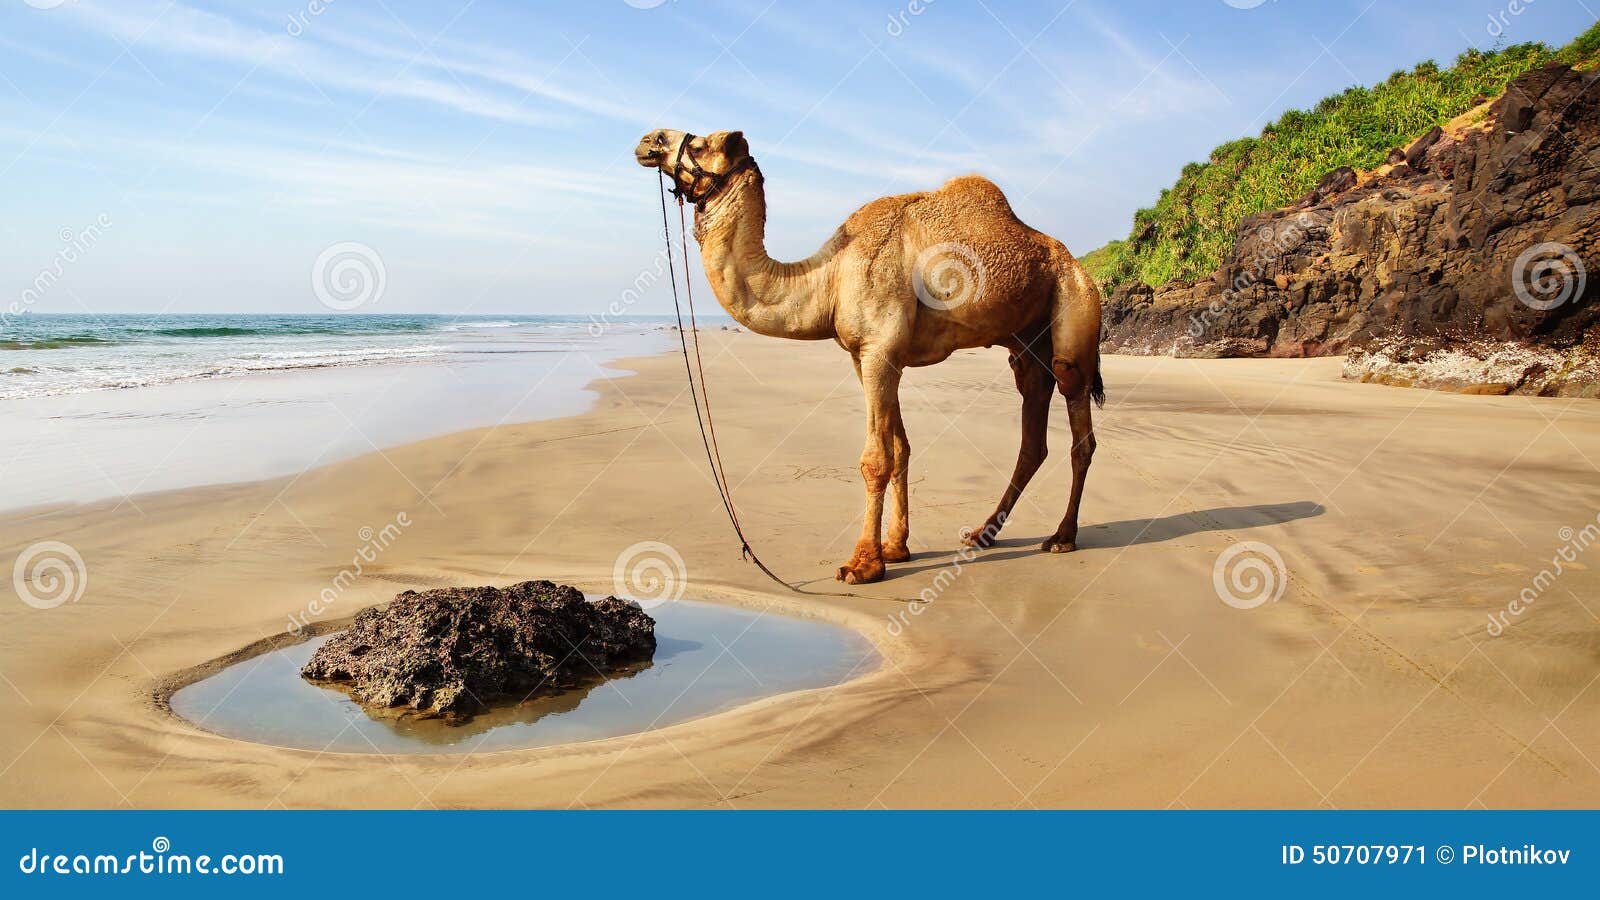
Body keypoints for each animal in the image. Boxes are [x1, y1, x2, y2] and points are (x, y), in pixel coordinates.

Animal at [635, 129, 1104, 584]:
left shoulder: (880, 348)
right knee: (1033, 429)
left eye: (699, 144)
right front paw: (895, 548)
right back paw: (982, 532)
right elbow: (900, 448)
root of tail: (1077, 264)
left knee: (1076, 414)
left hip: (1074, 302)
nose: (648, 140)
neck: (829, 277)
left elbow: (876, 459)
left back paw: (1062, 536)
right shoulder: (866, 357)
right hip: (1026, 344)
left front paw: (862, 564)